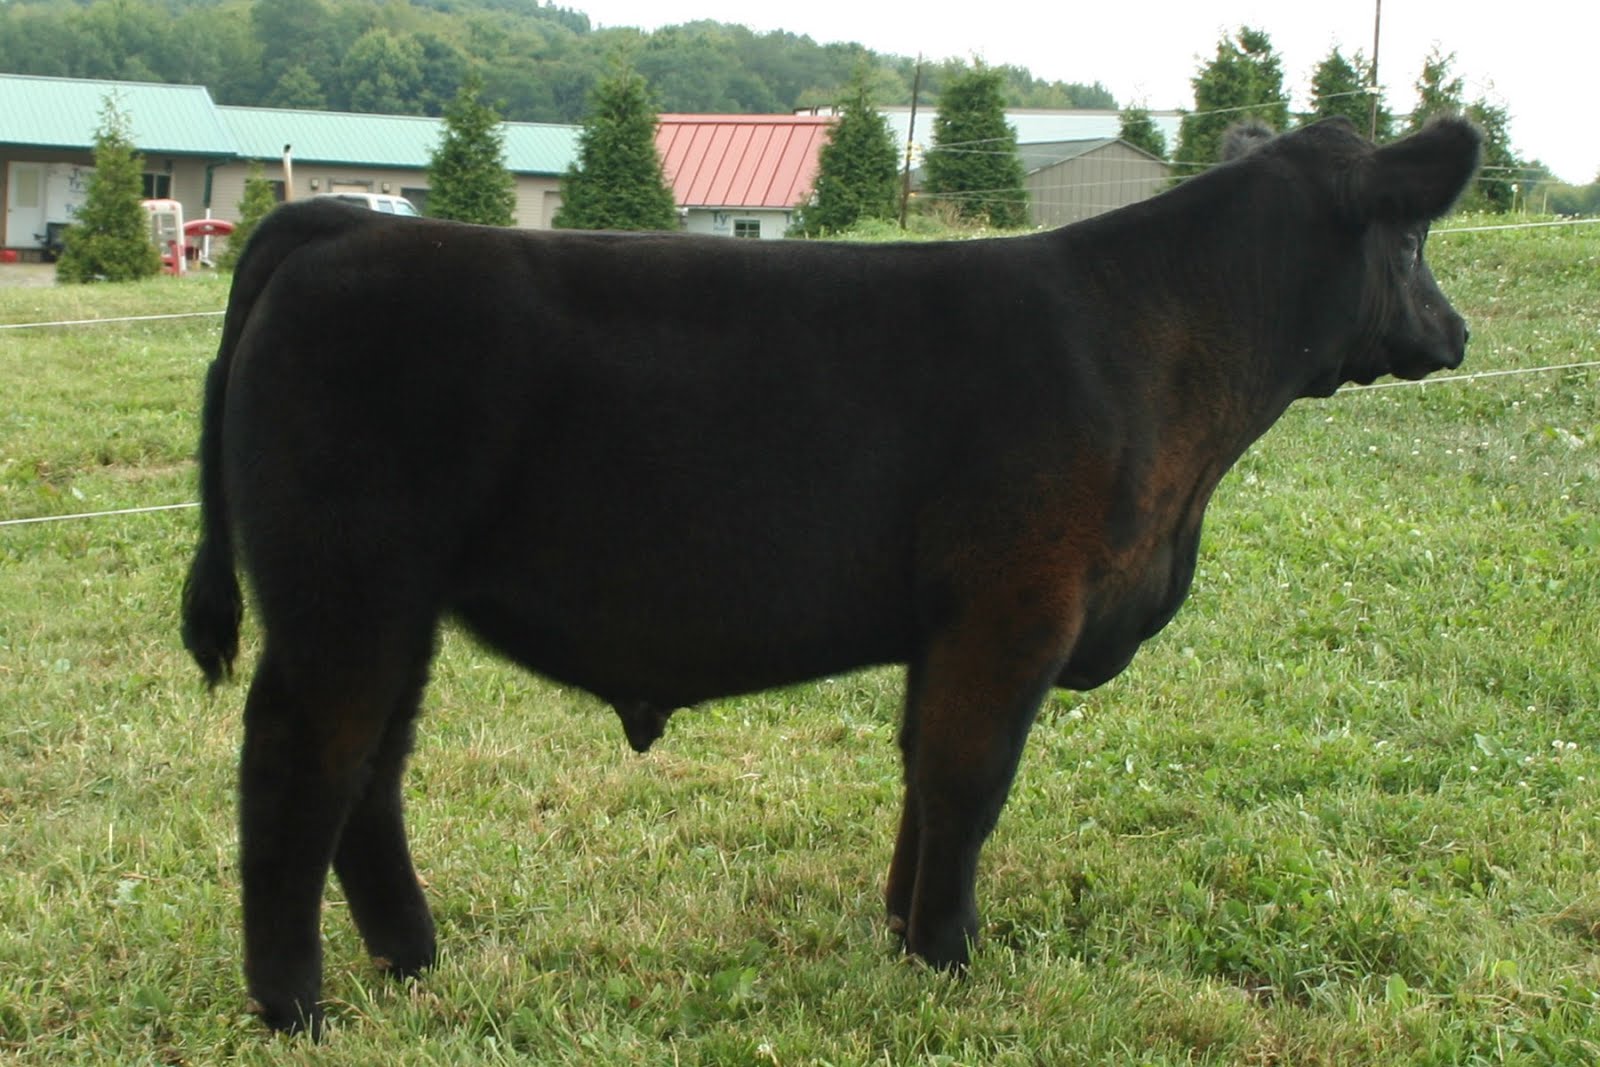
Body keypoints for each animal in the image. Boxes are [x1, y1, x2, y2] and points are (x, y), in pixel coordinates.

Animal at [181, 116, 1481, 1035]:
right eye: (1414, 239)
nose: (1458, 330)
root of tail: (345, 224)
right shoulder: (1017, 604)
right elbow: (969, 779)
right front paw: (951, 956)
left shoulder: (950, 625)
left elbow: (922, 774)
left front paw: (904, 933)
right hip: (344, 590)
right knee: (302, 761)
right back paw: (295, 1003)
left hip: (396, 607)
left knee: (371, 771)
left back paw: (412, 958)